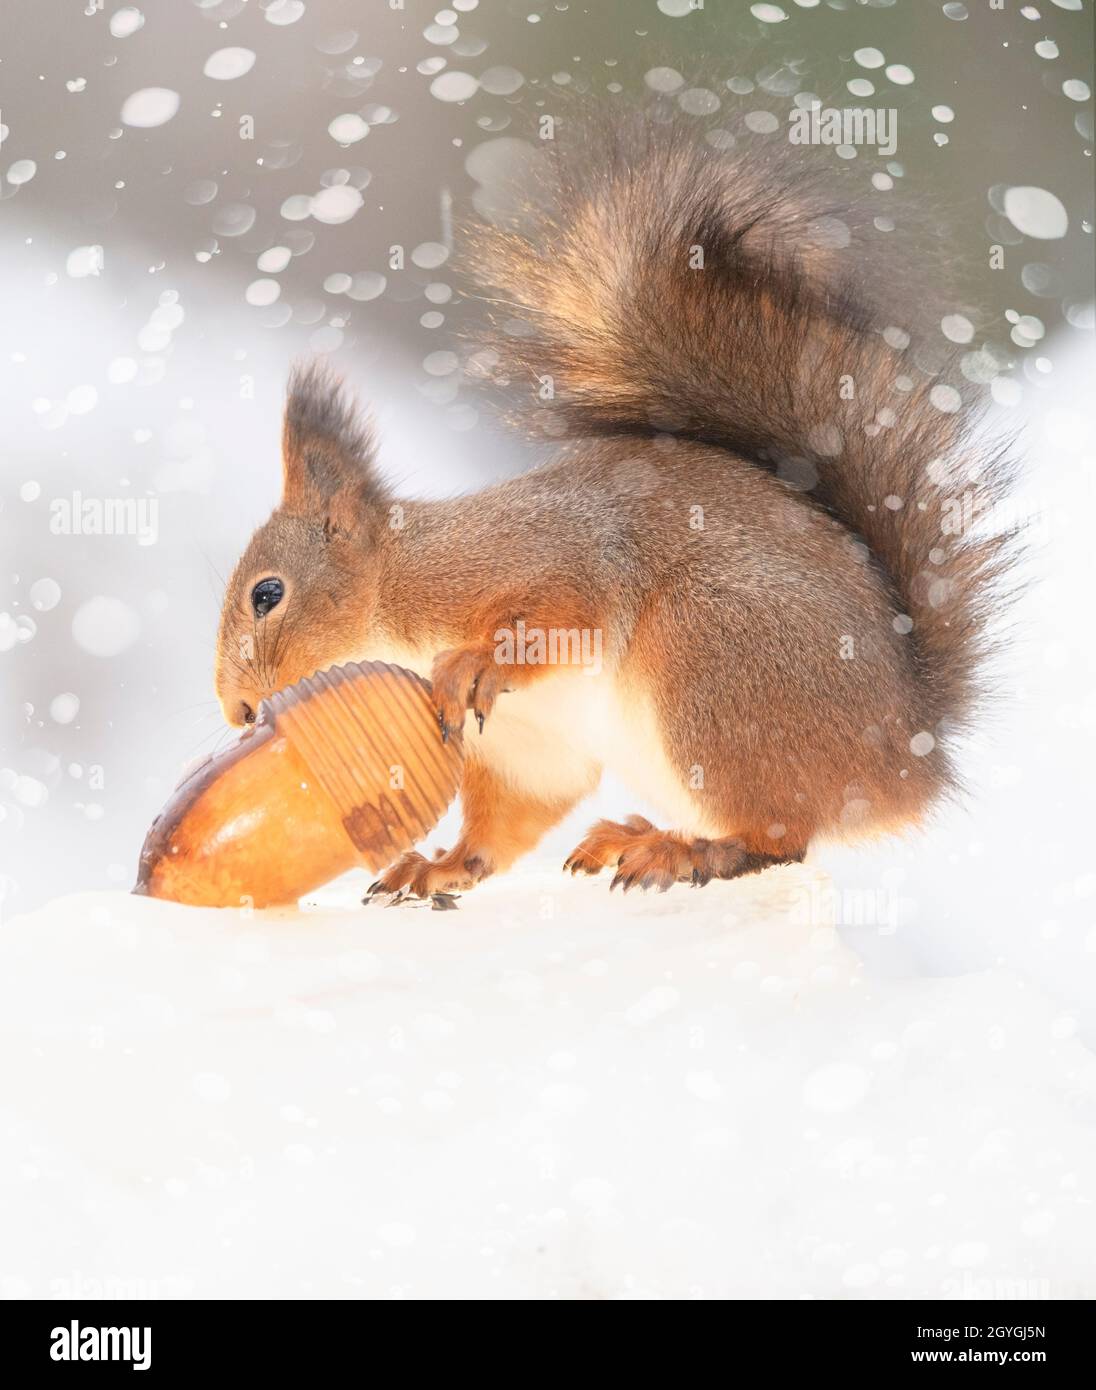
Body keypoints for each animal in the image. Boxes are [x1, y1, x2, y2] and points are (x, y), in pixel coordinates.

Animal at [215, 110, 1014, 898]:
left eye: (267, 594)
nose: (237, 711)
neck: (394, 592)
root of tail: (910, 755)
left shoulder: (541, 557)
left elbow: (566, 611)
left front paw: (476, 661)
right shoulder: (527, 744)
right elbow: (507, 822)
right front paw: (440, 865)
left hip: (714, 662)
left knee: (778, 838)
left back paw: (682, 852)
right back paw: (632, 837)